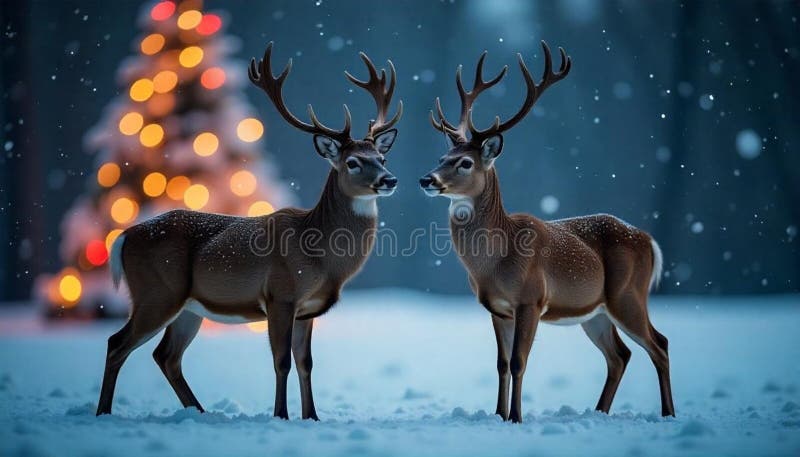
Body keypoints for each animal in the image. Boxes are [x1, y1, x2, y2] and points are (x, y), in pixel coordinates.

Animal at [96, 42, 403, 420]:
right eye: (353, 162)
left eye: (382, 158)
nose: (389, 180)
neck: (320, 254)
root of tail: (124, 237)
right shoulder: (280, 294)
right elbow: (281, 361)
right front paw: (281, 415)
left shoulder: (308, 309)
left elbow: (306, 363)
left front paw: (312, 417)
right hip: (156, 292)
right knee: (117, 343)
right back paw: (104, 413)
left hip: (187, 307)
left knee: (166, 356)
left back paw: (200, 412)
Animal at [419, 41, 674, 423]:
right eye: (441, 157)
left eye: (465, 162)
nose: (427, 179)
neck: (494, 260)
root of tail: (648, 240)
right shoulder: (497, 308)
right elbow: (500, 364)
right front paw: (498, 415)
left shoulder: (531, 298)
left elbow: (519, 362)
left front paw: (516, 417)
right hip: (595, 313)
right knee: (620, 355)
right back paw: (598, 412)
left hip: (627, 295)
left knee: (659, 344)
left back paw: (669, 414)